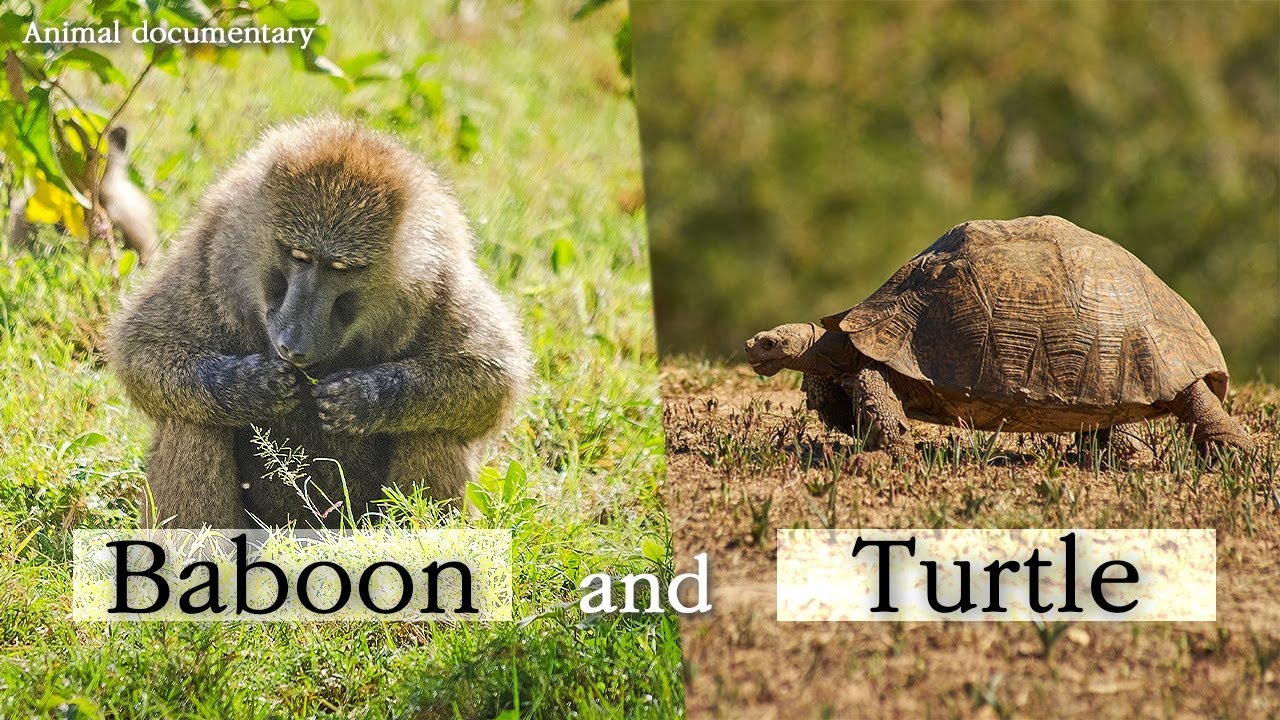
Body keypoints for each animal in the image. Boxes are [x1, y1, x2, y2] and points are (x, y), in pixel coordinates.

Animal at [106, 116, 531, 529]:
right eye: (299, 255)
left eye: (339, 268)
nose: (293, 344)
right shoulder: (210, 253)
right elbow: (141, 345)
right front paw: (250, 387)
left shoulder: (443, 278)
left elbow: (492, 376)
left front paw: (363, 397)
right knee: (193, 419)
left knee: (434, 430)